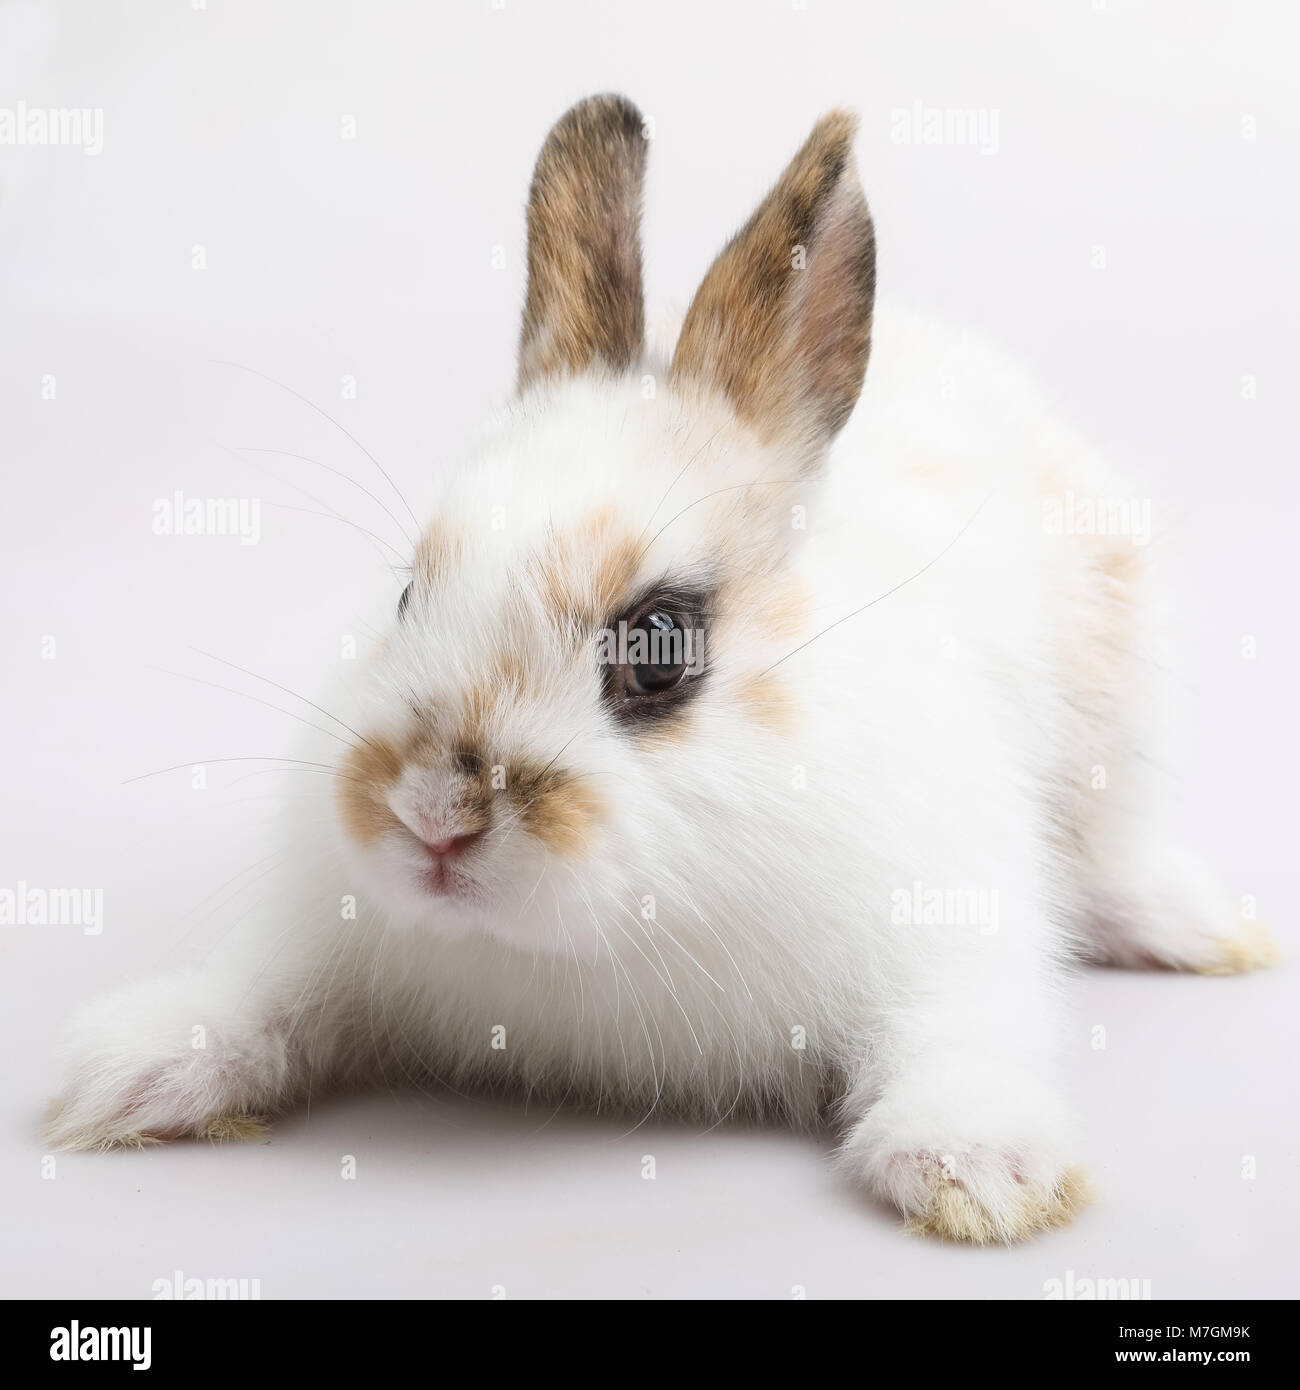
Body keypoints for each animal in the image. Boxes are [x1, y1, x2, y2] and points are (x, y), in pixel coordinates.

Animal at [46, 94, 1276, 1244]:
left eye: (661, 650)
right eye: (406, 597)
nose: (431, 814)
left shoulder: (951, 924)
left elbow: (959, 1034)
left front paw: (976, 1171)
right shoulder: (323, 948)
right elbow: (264, 1001)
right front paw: (116, 1077)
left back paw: (1201, 934)